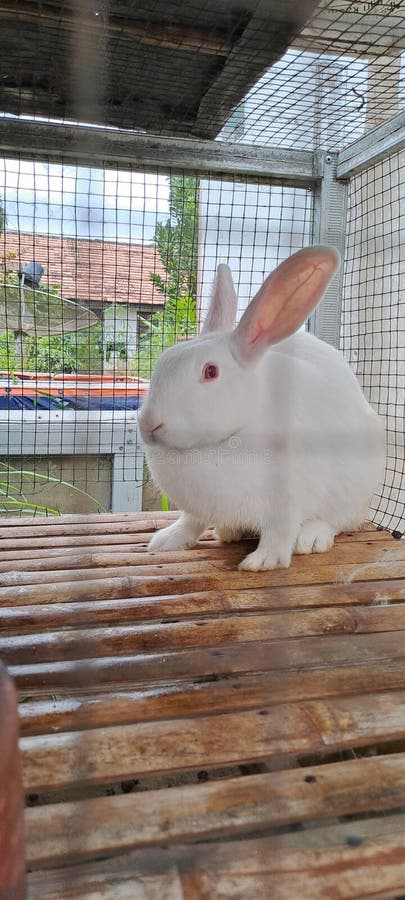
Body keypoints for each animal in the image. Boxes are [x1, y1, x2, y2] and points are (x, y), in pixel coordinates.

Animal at [138, 246, 386, 571]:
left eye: (210, 372)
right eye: (163, 361)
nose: (148, 424)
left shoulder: (287, 501)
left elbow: (279, 532)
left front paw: (263, 561)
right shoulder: (195, 508)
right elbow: (190, 522)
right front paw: (165, 541)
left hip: (354, 492)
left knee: (338, 521)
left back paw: (311, 538)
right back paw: (228, 531)